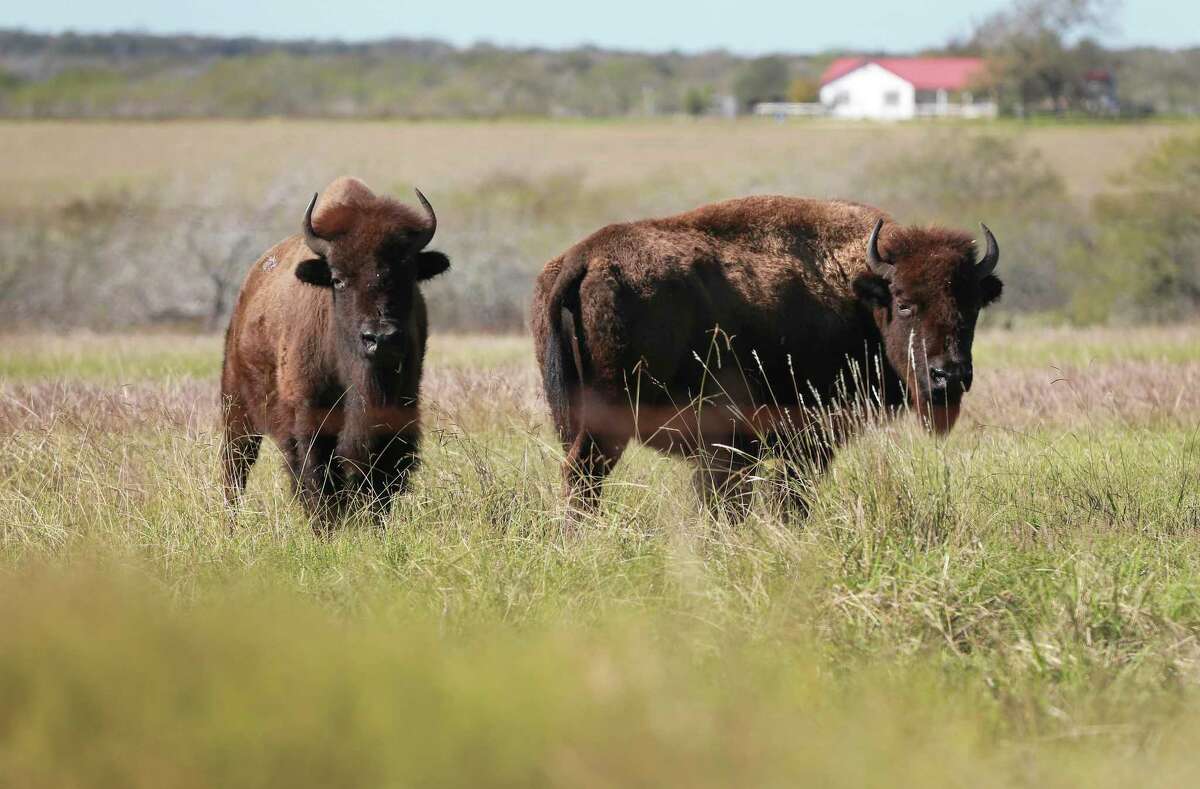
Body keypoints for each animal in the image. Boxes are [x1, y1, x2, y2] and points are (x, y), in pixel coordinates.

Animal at [221, 177, 450, 525]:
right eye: (339, 280)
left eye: (408, 276)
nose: (380, 338)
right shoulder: (310, 416)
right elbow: (318, 477)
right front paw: (325, 528)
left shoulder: (397, 415)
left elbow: (381, 475)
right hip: (236, 408)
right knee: (236, 466)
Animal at [532, 196, 1002, 523]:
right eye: (904, 303)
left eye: (973, 305)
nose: (949, 376)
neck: (860, 295)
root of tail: (585, 256)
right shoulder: (807, 439)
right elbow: (785, 500)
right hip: (607, 422)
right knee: (583, 475)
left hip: (569, 414)